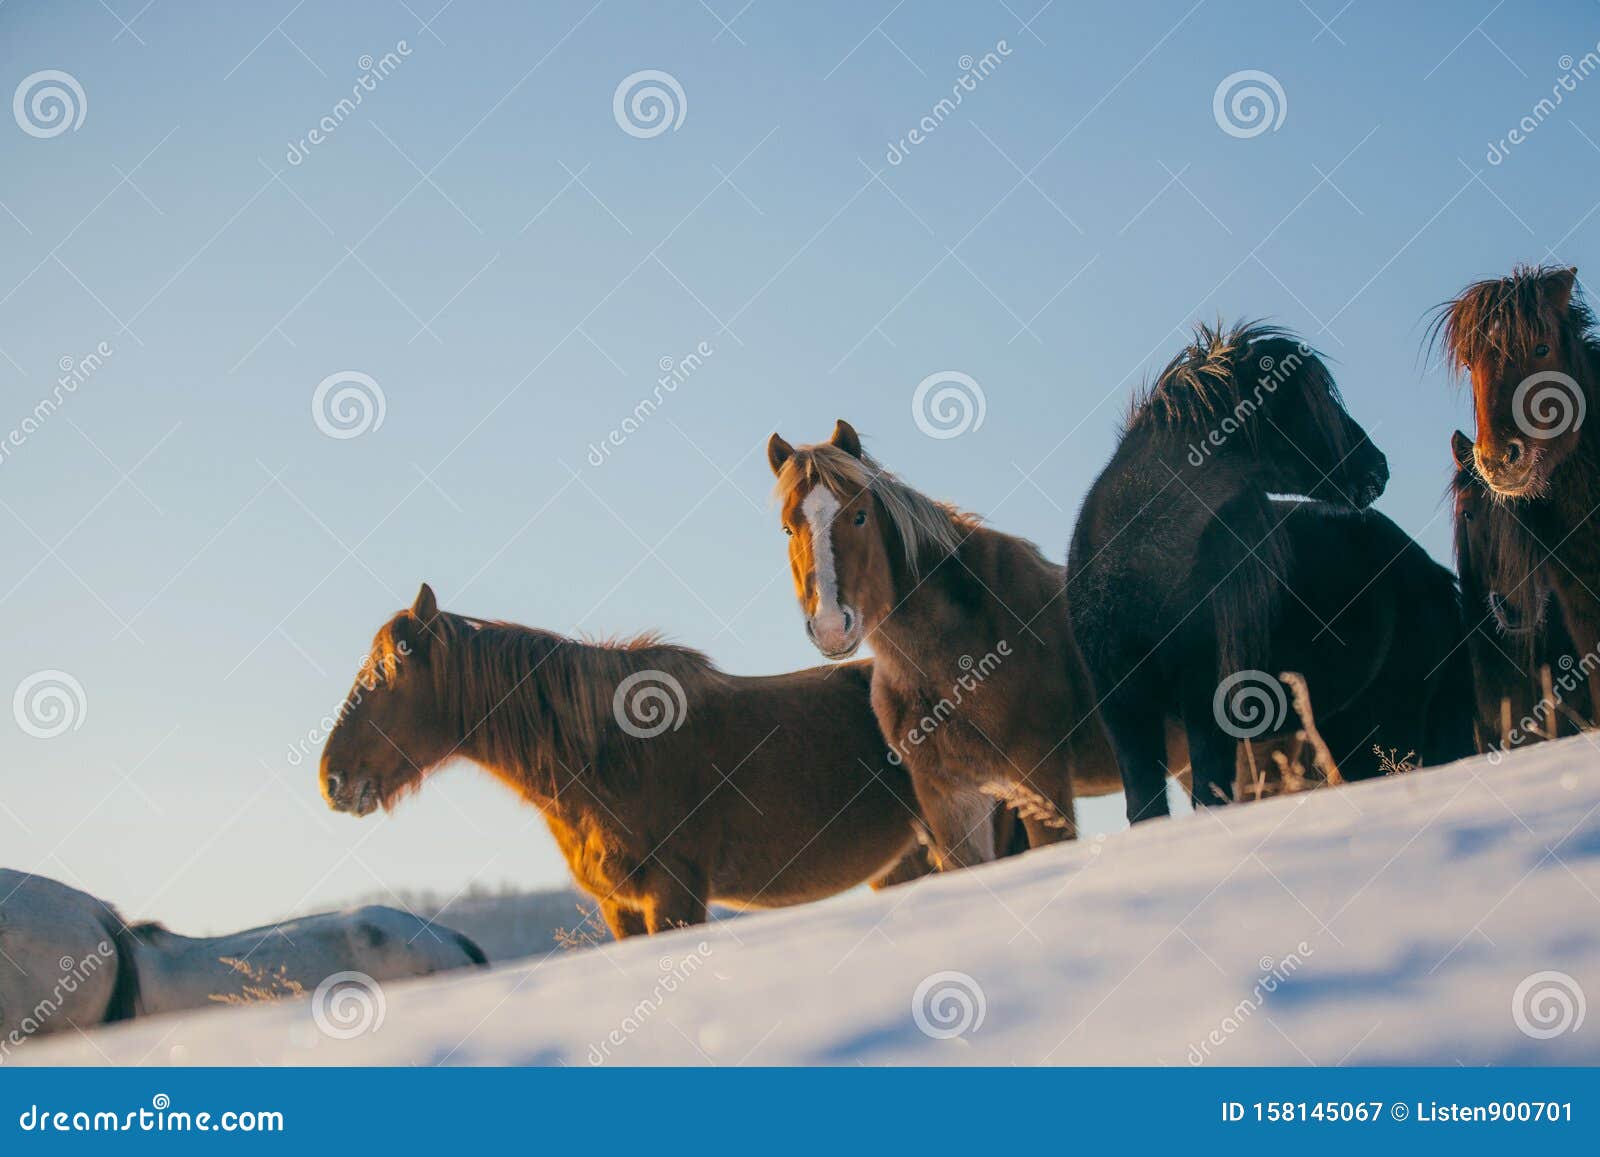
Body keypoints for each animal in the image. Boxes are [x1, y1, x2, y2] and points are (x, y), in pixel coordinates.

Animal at [1068, 321, 1473, 822]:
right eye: (1302, 408)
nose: (1377, 470)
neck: (1136, 569)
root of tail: (1434, 575)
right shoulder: (1123, 710)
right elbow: (1145, 808)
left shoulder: (1205, 705)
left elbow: (1209, 794)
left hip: (1391, 723)